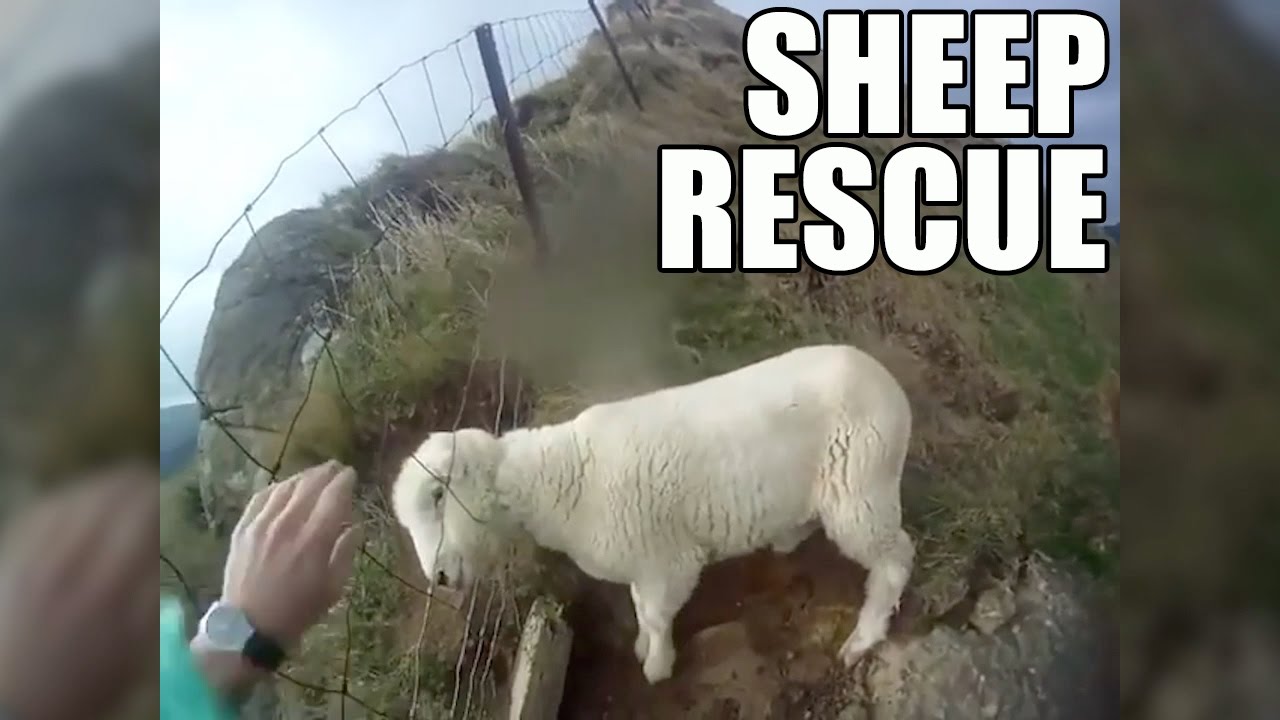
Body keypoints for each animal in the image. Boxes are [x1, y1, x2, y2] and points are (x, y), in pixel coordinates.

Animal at [391, 343, 916, 684]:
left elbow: (657, 615)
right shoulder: (642, 562)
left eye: (437, 495)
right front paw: (645, 647)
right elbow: (641, 610)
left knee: (895, 558)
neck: (563, 479)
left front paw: (656, 665)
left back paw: (865, 635)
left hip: (861, 486)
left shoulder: (668, 561)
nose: (438, 576)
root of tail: (886, 380)